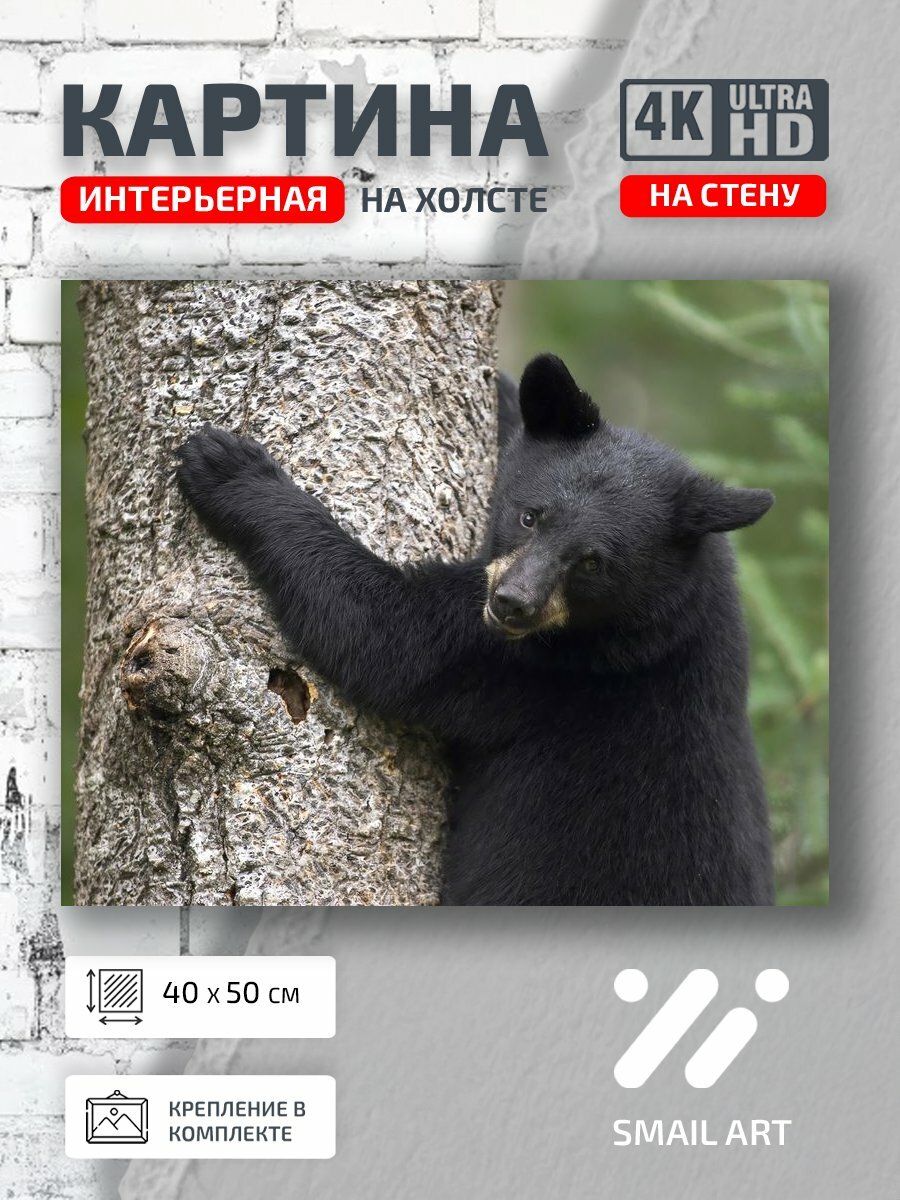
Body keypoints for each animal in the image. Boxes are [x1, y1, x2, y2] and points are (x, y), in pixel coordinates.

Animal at [176, 353, 775, 906]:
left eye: (592, 562)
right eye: (531, 515)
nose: (512, 604)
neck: (671, 610)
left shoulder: (546, 667)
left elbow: (388, 637)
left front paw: (230, 469)